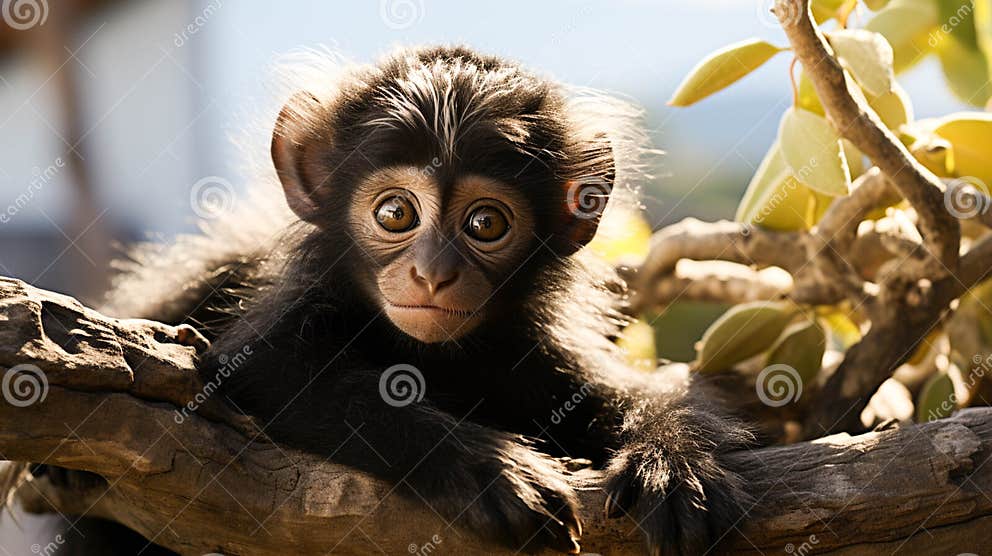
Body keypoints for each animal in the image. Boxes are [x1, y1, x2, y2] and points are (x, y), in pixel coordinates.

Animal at [6, 45, 753, 555]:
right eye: (396, 213)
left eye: (486, 224)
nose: (432, 274)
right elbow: (264, 369)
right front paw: (484, 467)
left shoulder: (533, 352)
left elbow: (630, 393)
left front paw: (674, 463)